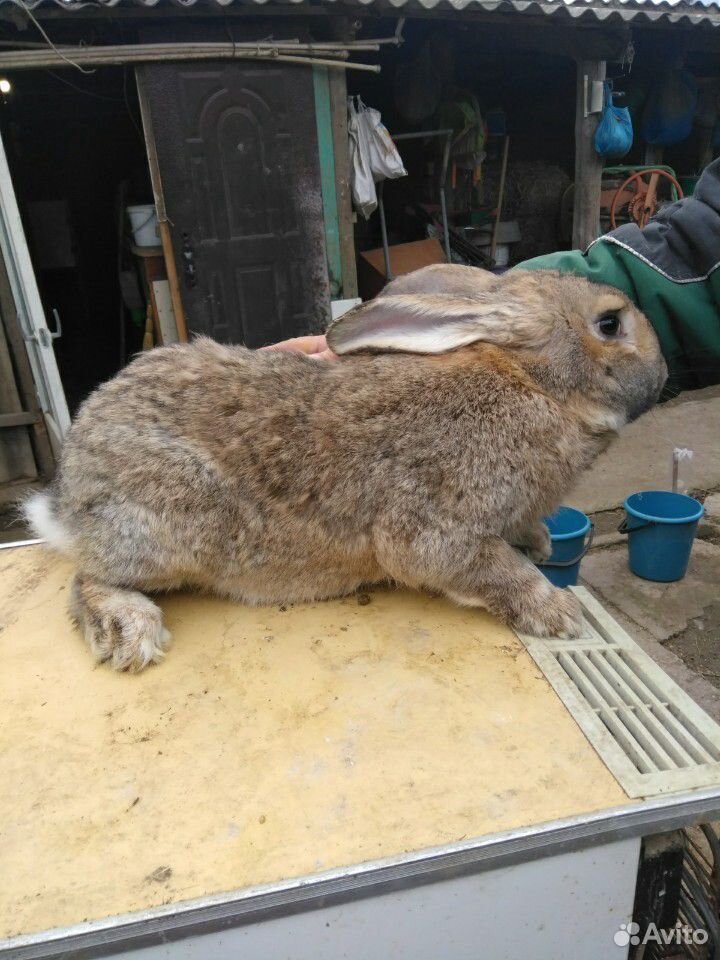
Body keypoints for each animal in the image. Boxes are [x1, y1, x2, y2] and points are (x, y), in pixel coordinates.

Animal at [24, 267, 667, 672]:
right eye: (610, 324)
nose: (662, 374)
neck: (537, 385)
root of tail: (68, 494)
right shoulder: (436, 526)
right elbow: (484, 569)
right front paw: (558, 614)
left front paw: (539, 544)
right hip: (171, 519)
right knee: (86, 577)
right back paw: (130, 631)